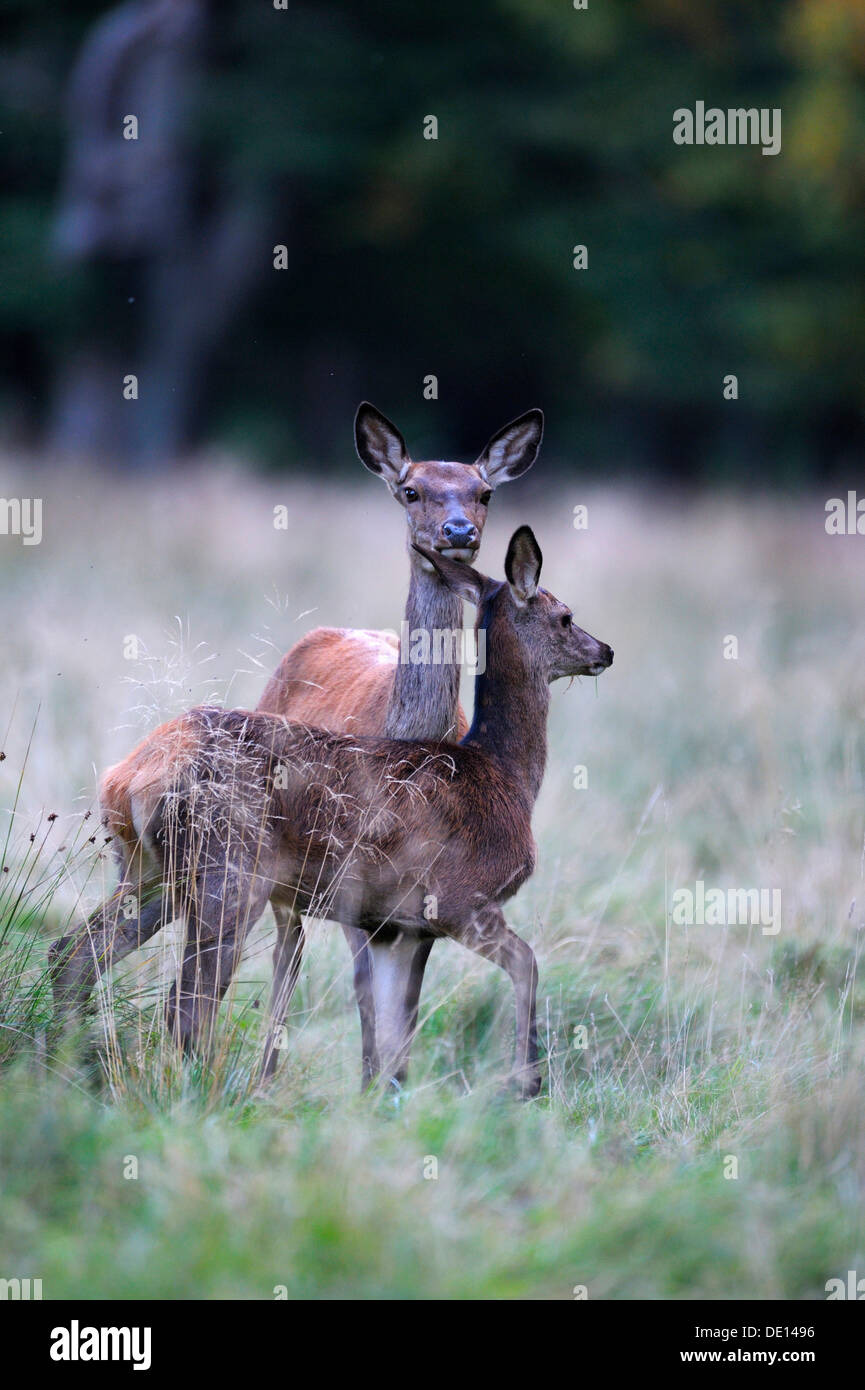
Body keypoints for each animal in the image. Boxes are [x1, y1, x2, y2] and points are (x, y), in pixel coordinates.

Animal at [49, 527, 613, 1098]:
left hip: (150, 870)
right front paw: (527, 1083)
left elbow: (393, 1033)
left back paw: (65, 1063)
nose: (605, 650)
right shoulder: (455, 900)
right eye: (566, 615)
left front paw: (382, 1100)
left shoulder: (394, 924)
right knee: (184, 1003)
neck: (504, 777)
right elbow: (527, 963)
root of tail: (128, 775)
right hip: (229, 874)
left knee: (74, 954)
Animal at [255, 403, 543, 1085]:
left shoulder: (424, 906)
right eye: (411, 490)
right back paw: (264, 1073)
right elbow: (365, 991)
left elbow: (407, 1005)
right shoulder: (357, 881)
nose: (458, 530)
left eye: (484, 491)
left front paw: (394, 1084)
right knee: (287, 953)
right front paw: (368, 1083)